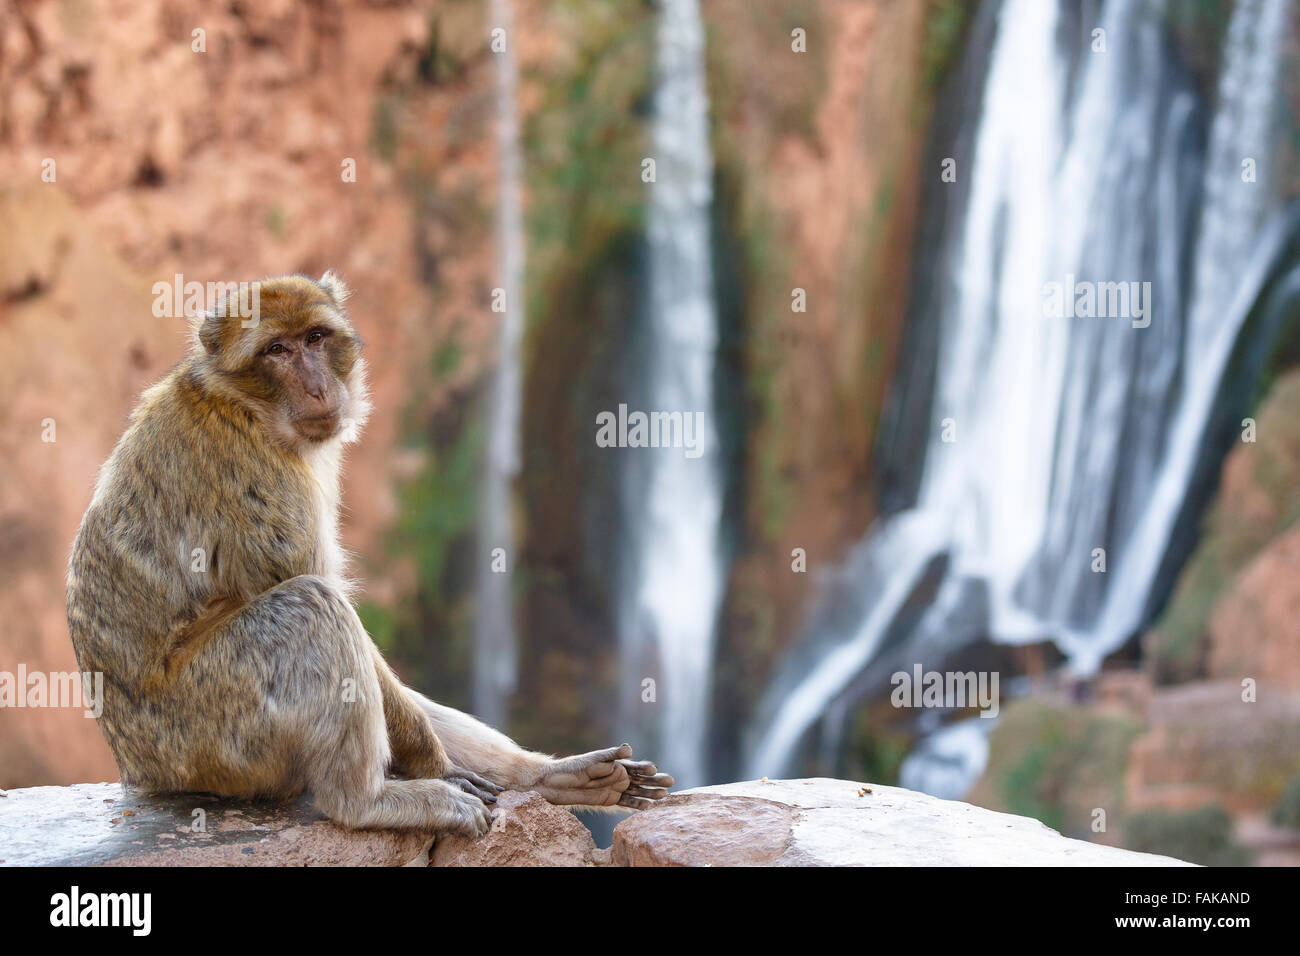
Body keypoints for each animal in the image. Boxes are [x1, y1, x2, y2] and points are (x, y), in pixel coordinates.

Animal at [66, 272, 673, 836]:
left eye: (315, 338)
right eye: (276, 350)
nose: (317, 387)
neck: (246, 407)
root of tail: (139, 769)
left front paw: (523, 773)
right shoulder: (256, 475)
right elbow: (317, 592)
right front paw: (435, 766)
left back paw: (545, 775)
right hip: (210, 733)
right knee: (311, 605)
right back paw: (367, 802)